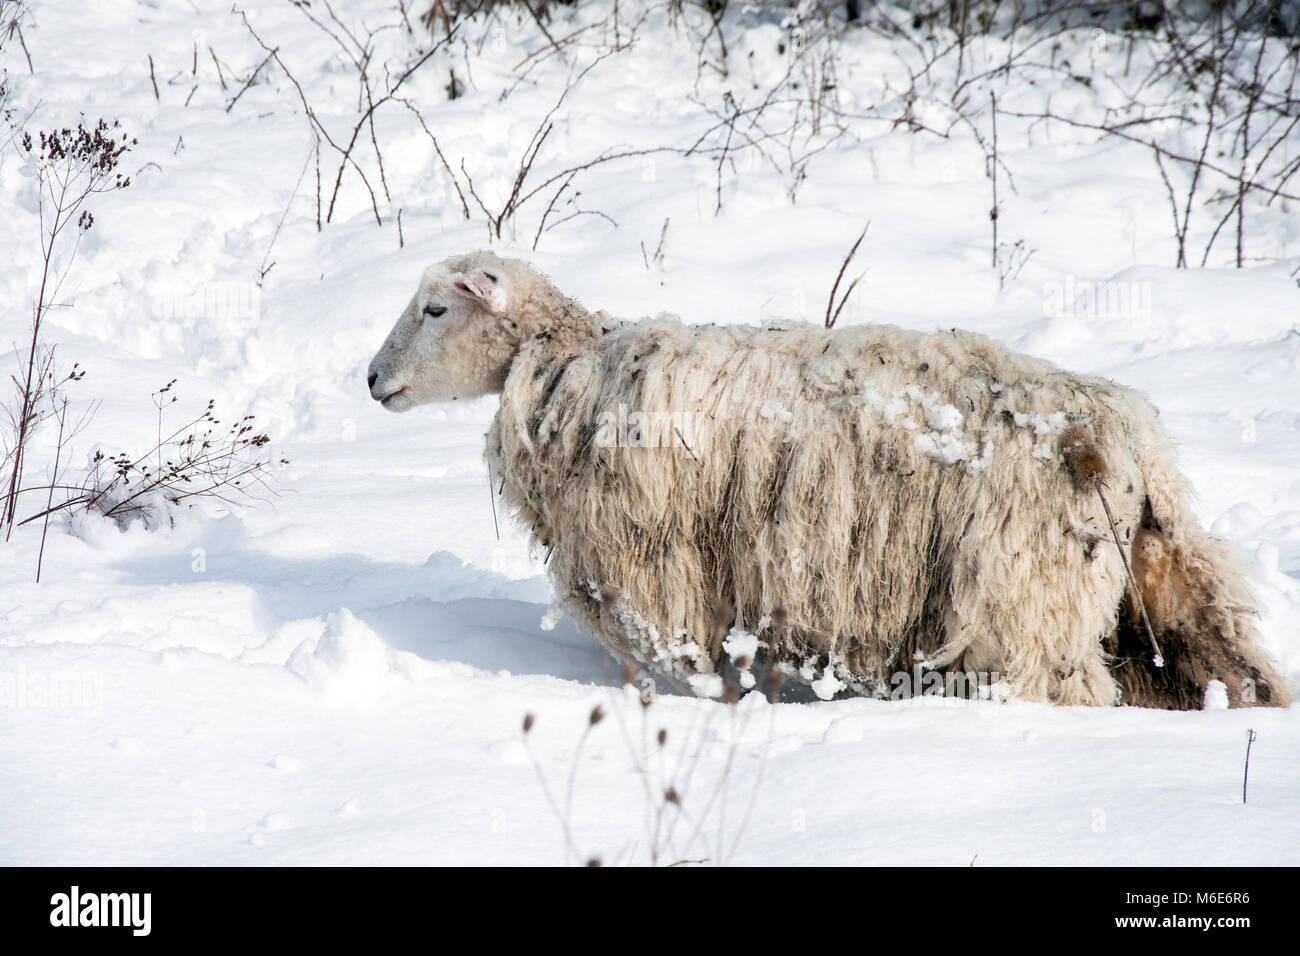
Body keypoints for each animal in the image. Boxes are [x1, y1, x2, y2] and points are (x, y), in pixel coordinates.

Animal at [367, 250, 1292, 710]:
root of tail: (1135, 448)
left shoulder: (664, 572)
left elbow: (697, 667)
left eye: (437, 309)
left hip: (1030, 595)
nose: (372, 380)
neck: (568, 363)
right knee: (1225, 666)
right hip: (1163, 581)